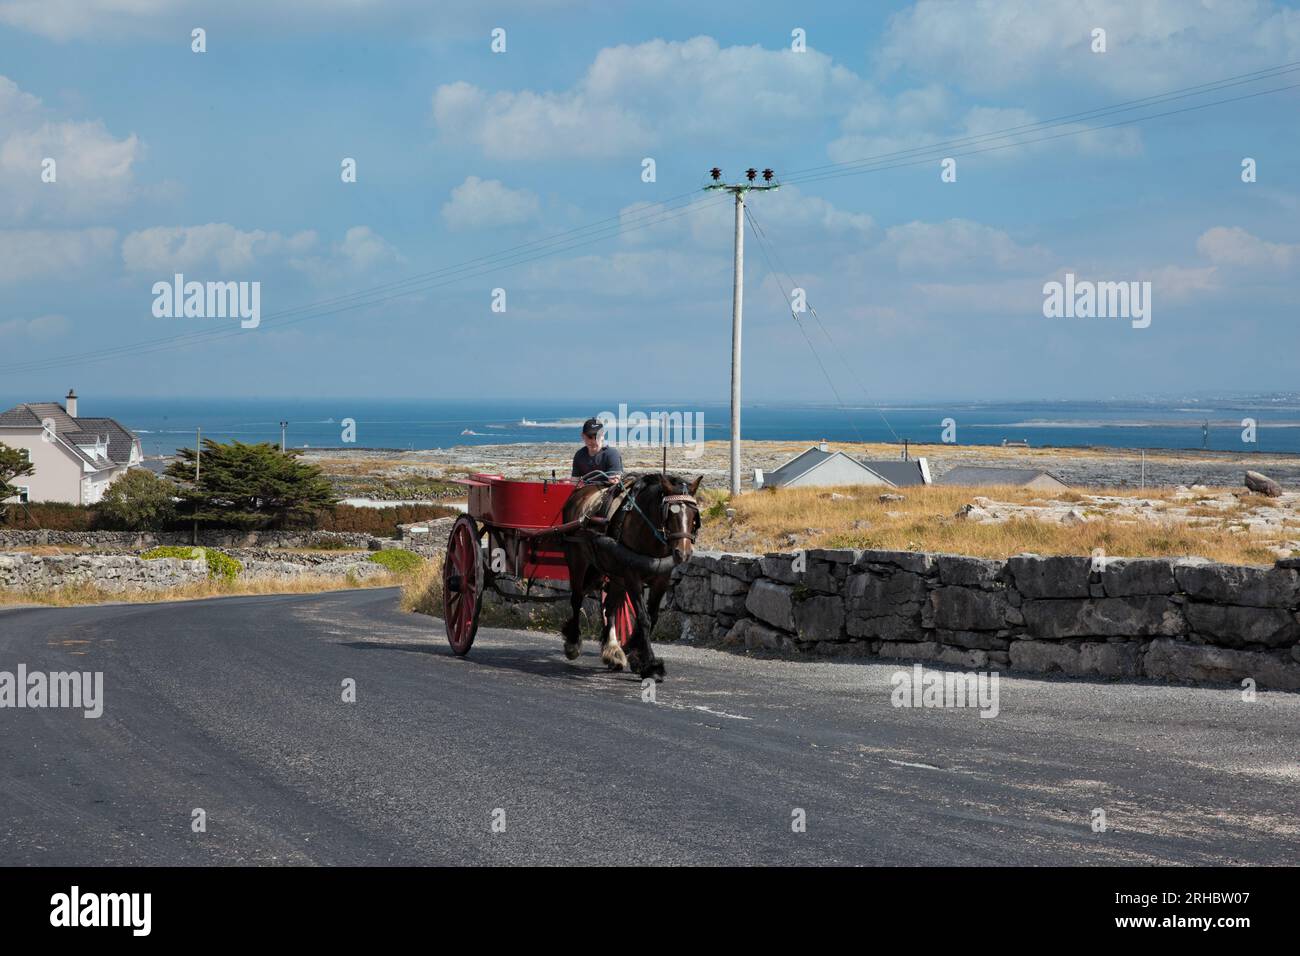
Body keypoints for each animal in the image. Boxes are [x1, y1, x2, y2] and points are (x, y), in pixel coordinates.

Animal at [559, 473, 702, 680]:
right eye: (670, 513)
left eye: (694, 514)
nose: (683, 553)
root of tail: (580, 491)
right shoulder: (632, 577)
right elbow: (643, 618)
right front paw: (651, 665)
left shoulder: (661, 579)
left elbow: (652, 616)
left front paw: (635, 653)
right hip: (579, 561)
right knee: (577, 598)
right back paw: (573, 643)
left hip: (612, 573)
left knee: (609, 607)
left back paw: (612, 650)